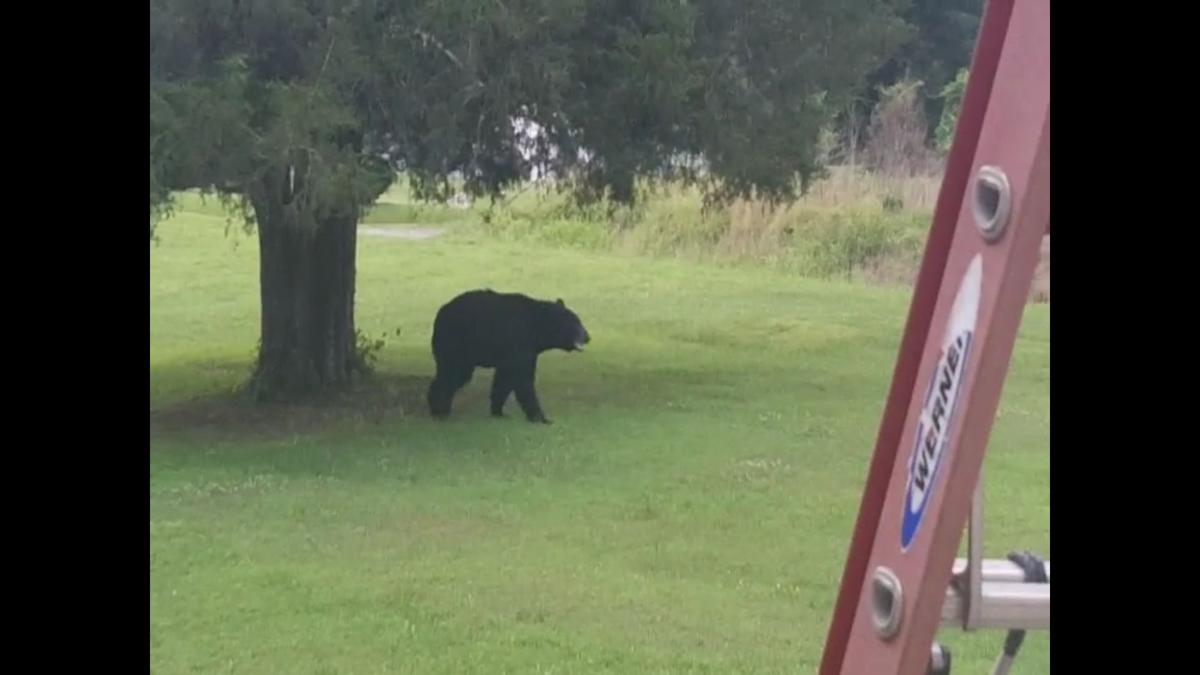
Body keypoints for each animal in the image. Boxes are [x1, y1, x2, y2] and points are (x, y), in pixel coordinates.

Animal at [426, 289, 591, 424]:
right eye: (576, 323)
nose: (587, 337)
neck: (537, 328)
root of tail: (440, 313)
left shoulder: (520, 351)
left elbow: (504, 379)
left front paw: (498, 412)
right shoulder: (519, 341)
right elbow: (523, 379)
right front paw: (541, 418)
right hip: (454, 342)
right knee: (452, 373)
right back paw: (439, 410)